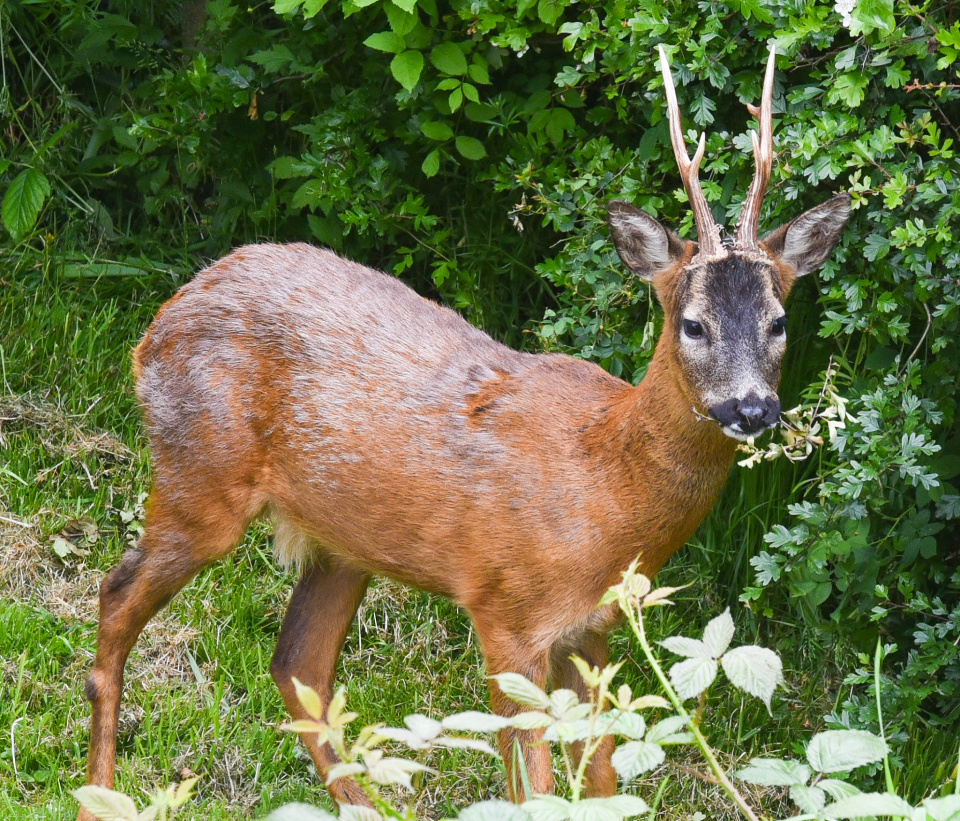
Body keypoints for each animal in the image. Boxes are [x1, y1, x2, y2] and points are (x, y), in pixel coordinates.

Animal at [80, 44, 850, 818]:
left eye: (779, 321)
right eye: (693, 324)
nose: (751, 409)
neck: (604, 484)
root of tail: (158, 324)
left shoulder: (594, 628)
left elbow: (603, 778)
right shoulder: (505, 609)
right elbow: (533, 789)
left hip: (342, 540)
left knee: (297, 665)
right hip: (198, 473)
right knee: (117, 596)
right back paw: (97, 795)